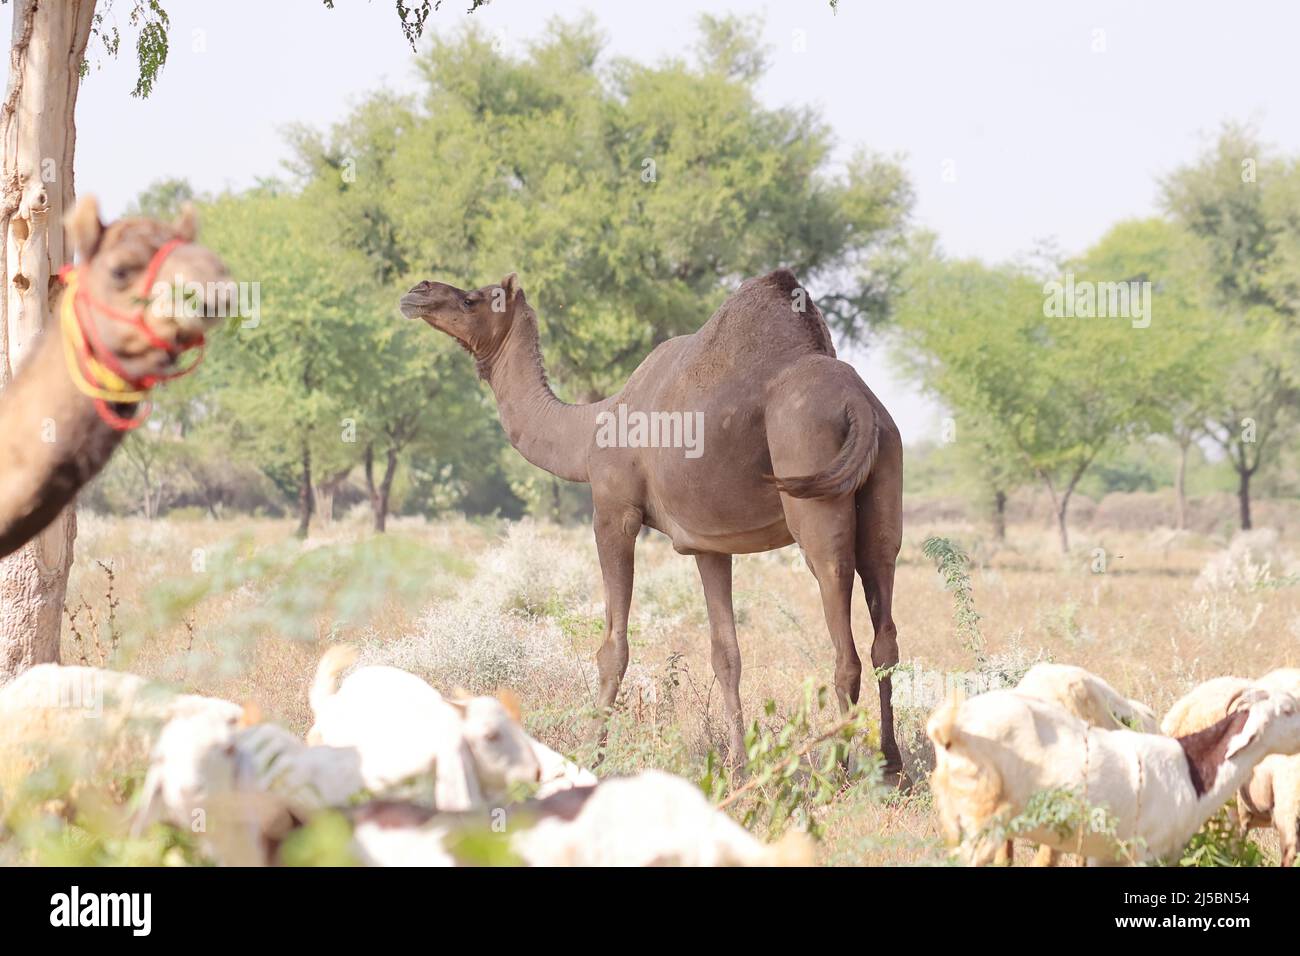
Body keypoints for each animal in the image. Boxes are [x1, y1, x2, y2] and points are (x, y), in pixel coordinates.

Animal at [400, 269, 905, 781]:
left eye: (472, 299)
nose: (418, 291)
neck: (588, 432)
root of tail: (859, 404)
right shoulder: (708, 543)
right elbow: (726, 654)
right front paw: (739, 768)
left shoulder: (613, 512)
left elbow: (612, 649)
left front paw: (590, 757)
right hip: (886, 484)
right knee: (884, 626)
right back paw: (891, 765)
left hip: (811, 479)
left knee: (843, 638)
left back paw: (840, 773)